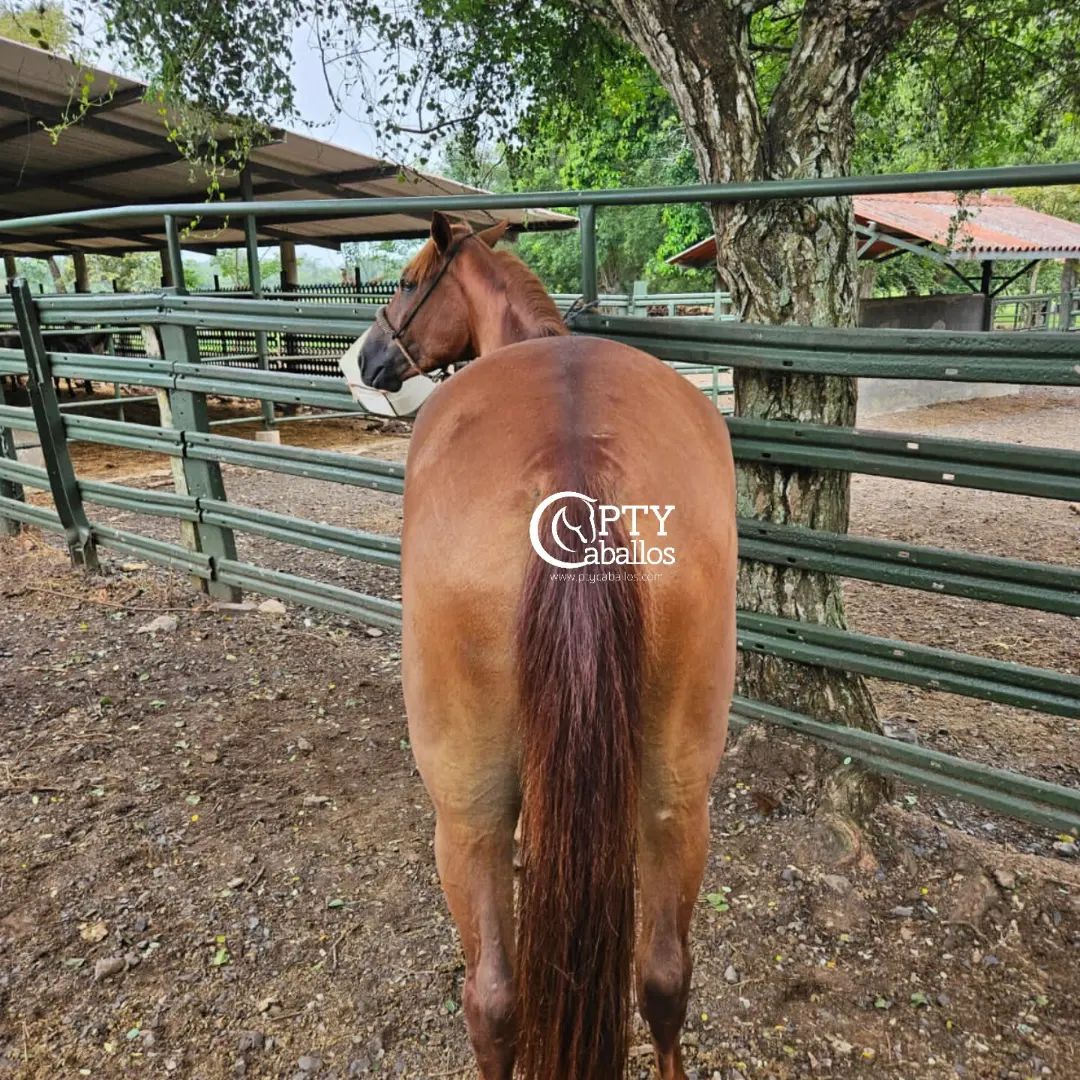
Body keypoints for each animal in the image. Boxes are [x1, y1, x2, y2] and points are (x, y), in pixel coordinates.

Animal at [359, 212, 737, 1080]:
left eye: (406, 280)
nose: (368, 357)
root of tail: (576, 476)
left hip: (464, 811)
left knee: (493, 1000)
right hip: (678, 794)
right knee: (664, 978)